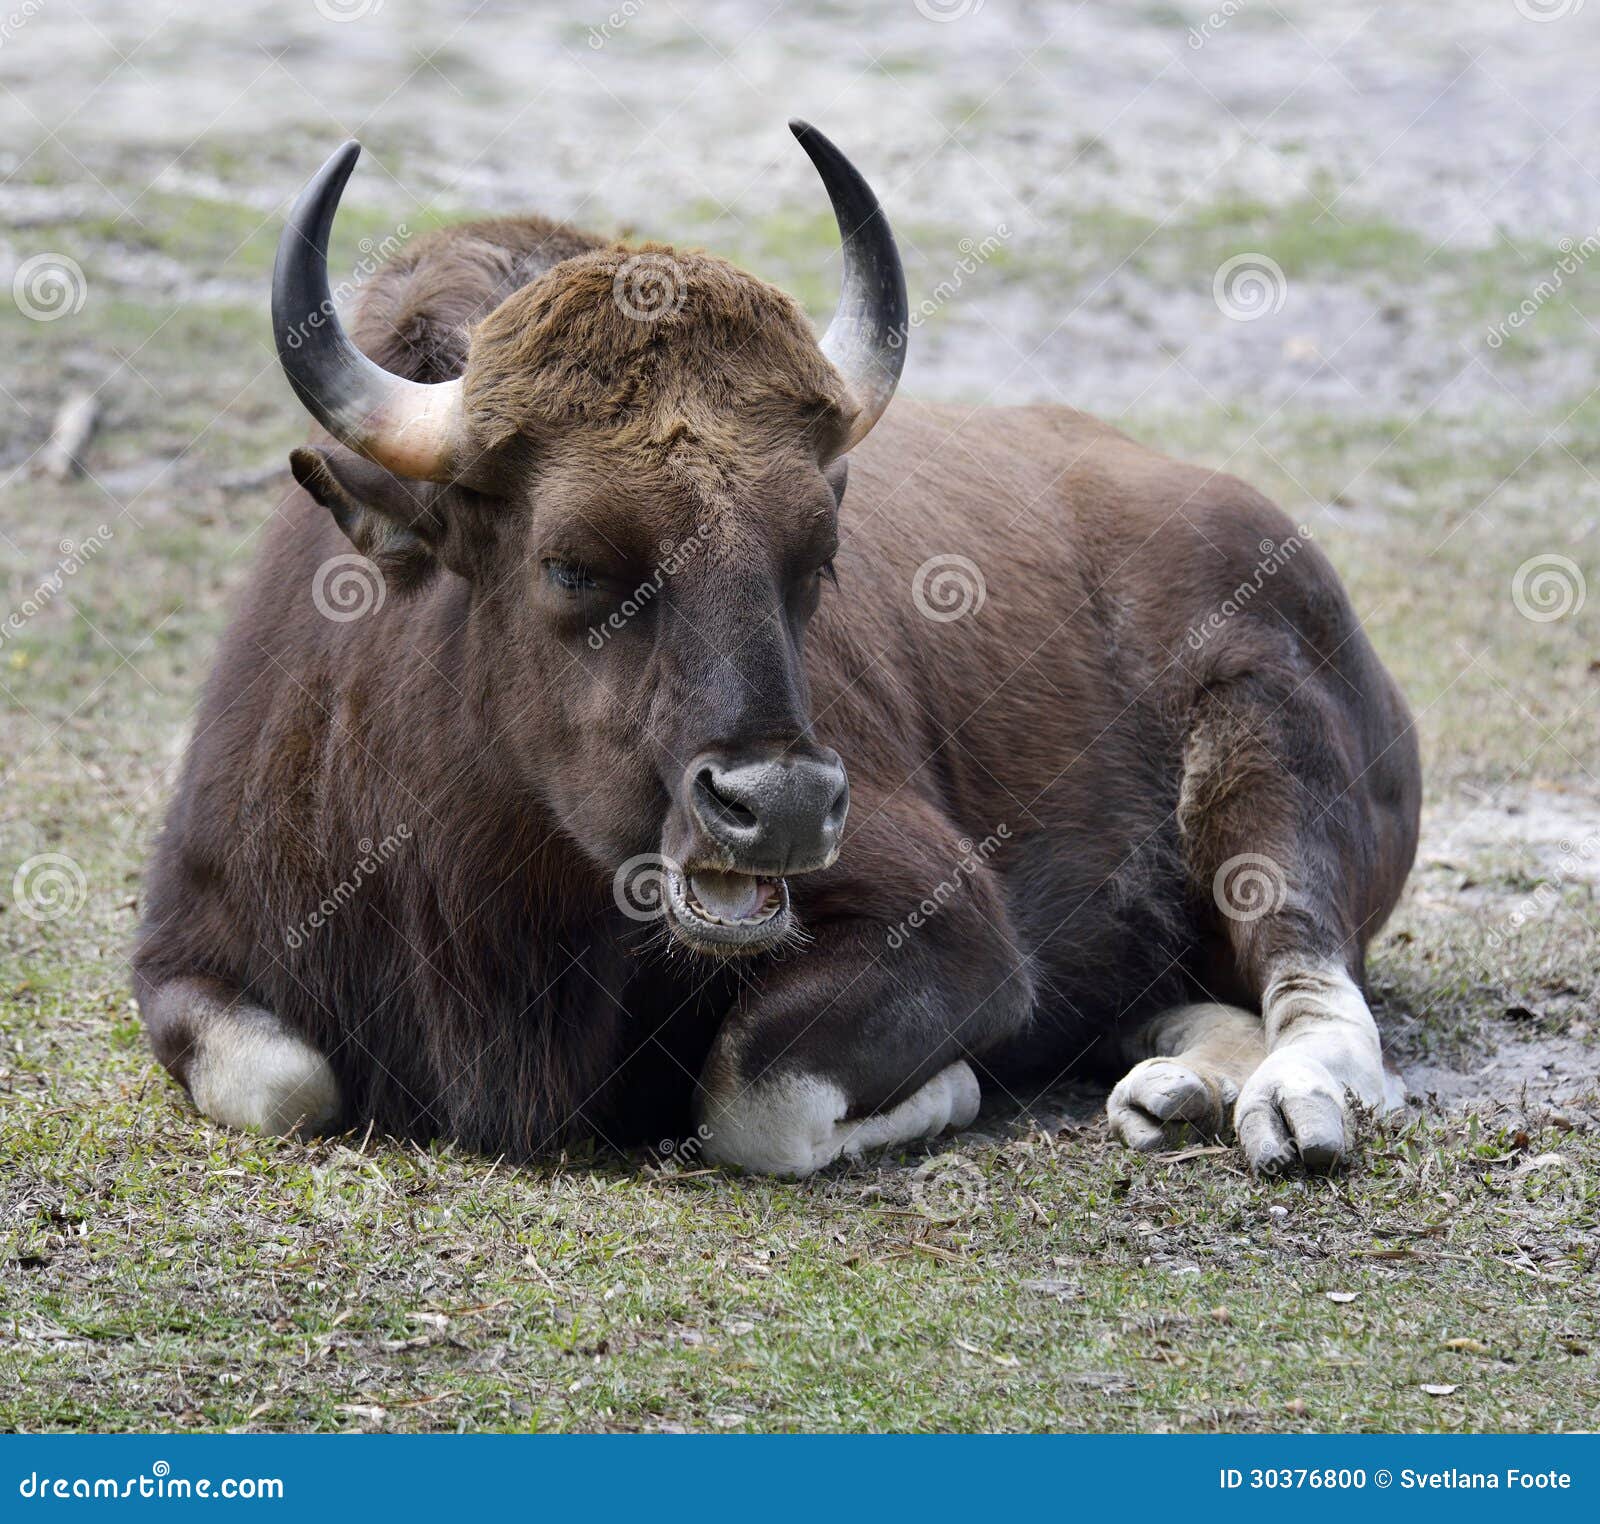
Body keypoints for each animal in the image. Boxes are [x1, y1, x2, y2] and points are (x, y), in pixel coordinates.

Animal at [133, 122, 1421, 1179]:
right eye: (571, 563)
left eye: (816, 553)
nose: (785, 808)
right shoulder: (183, 953)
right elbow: (284, 1083)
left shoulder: (953, 924)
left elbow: (752, 1097)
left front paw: (949, 1089)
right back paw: (1176, 1082)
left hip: (1269, 760)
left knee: (1321, 991)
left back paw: (1287, 1103)